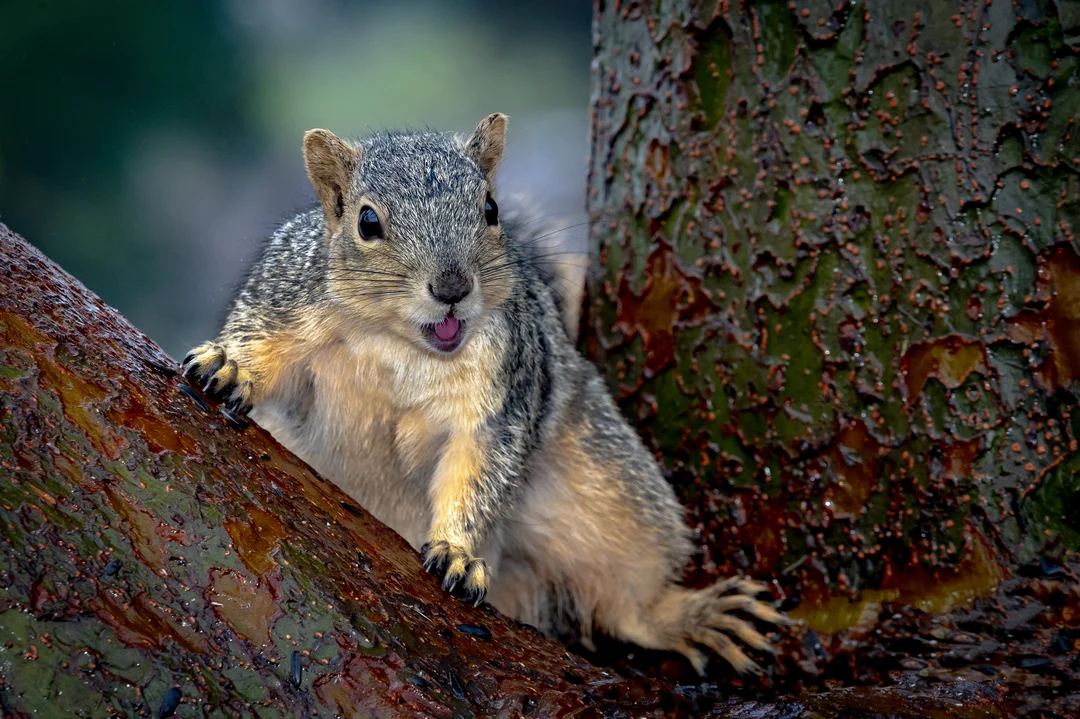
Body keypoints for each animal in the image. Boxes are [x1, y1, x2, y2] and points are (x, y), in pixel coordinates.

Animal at [181, 113, 790, 674]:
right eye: (367, 221)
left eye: (491, 209)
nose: (452, 288)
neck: (403, 344)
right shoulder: (288, 297)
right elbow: (264, 348)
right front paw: (230, 364)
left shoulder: (505, 392)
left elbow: (479, 470)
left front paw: (458, 552)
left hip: (607, 493)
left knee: (623, 601)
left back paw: (686, 616)